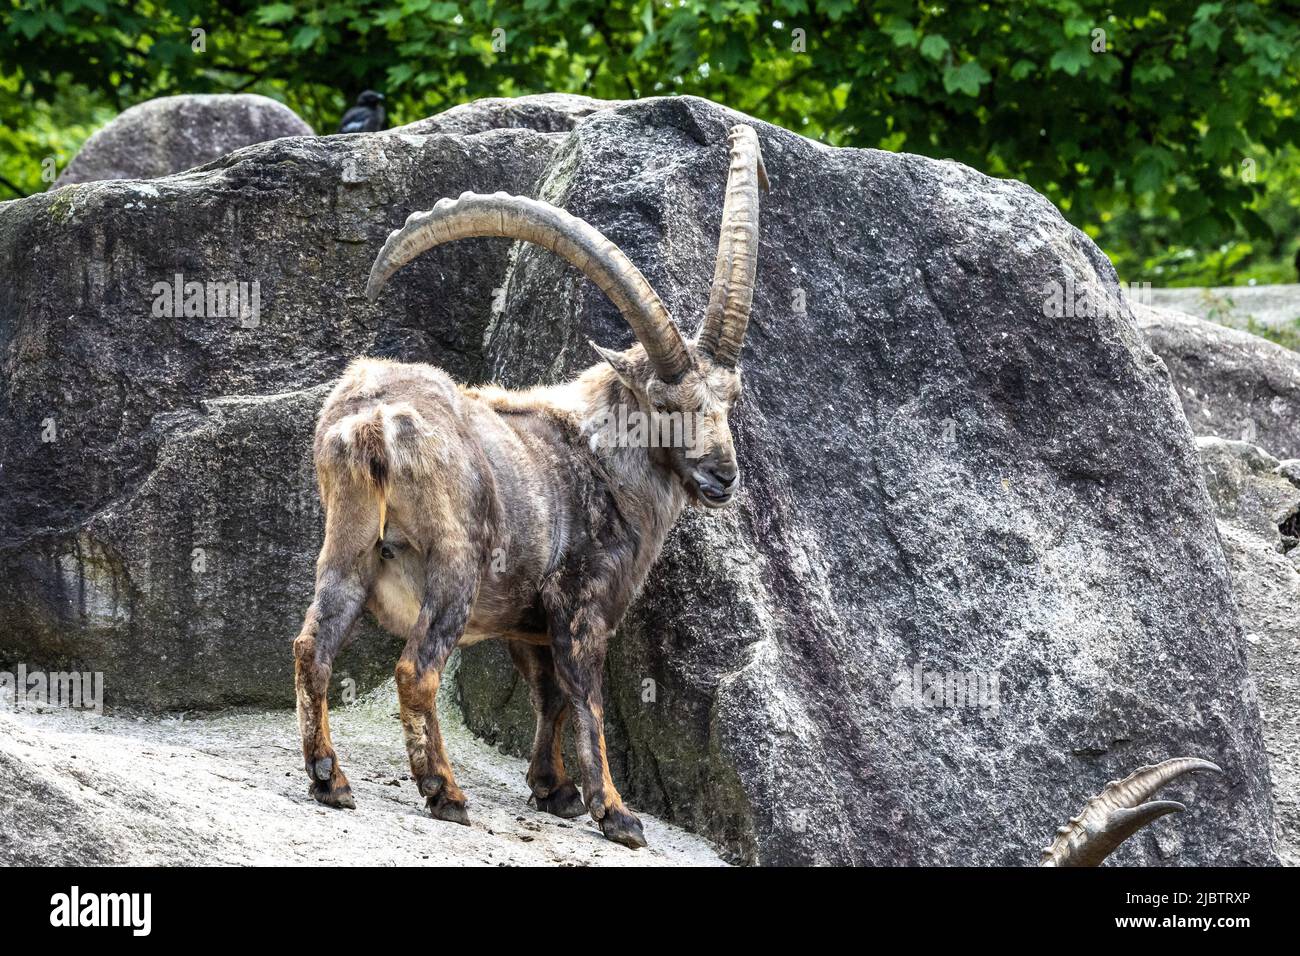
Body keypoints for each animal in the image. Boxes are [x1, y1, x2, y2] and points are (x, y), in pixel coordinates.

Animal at [293, 125, 766, 848]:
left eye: (729, 399)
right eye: (663, 402)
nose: (722, 475)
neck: (600, 457)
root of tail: (372, 420)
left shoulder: (527, 619)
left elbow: (548, 697)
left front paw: (555, 790)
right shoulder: (581, 605)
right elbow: (586, 700)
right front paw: (615, 812)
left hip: (346, 549)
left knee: (312, 648)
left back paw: (330, 778)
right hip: (454, 568)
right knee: (416, 669)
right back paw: (444, 792)